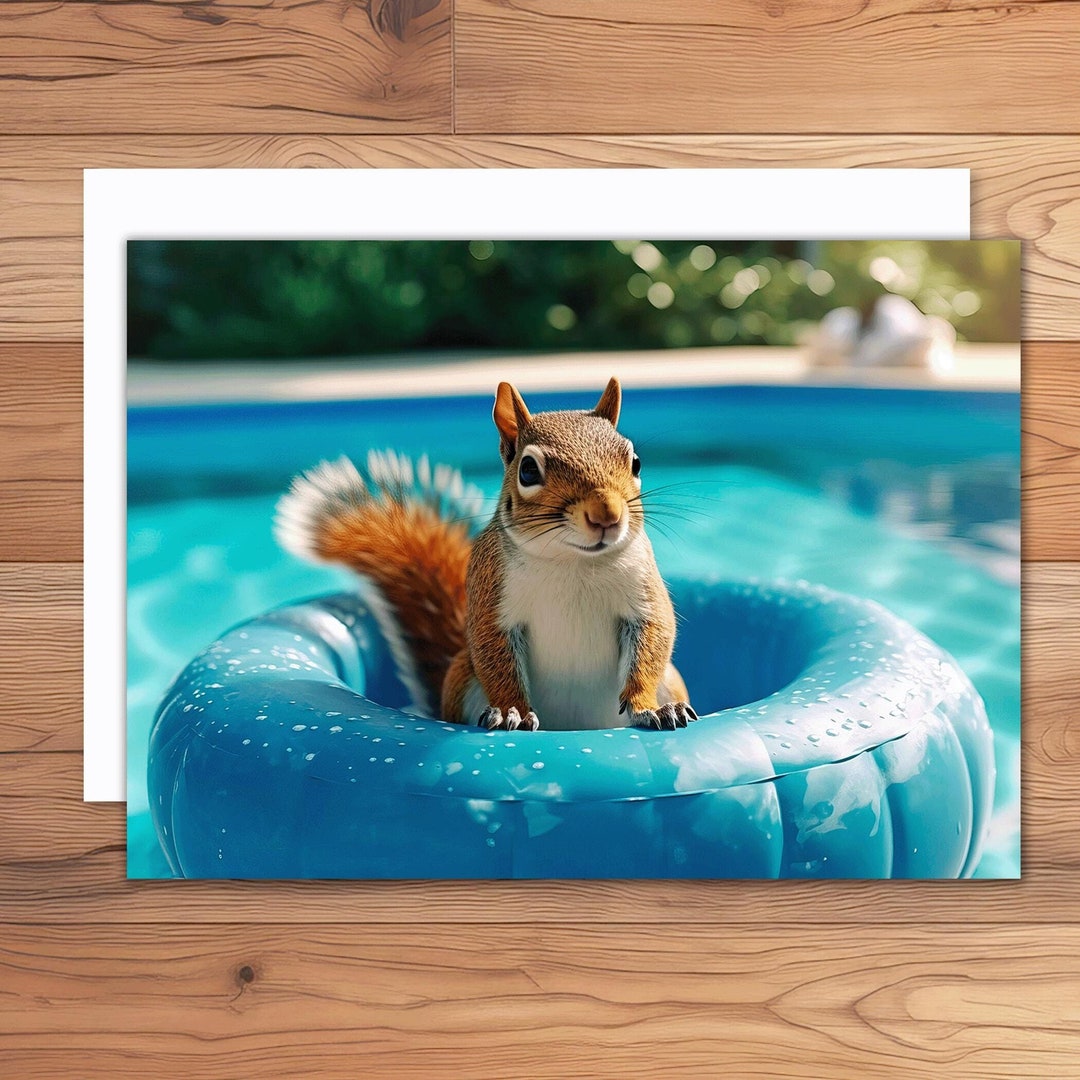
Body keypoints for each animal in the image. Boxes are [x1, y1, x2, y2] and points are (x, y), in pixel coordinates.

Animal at [274, 377, 697, 733]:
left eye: (635, 462)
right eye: (528, 471)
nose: (606, 515)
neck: (574, 561)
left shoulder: (642, 595)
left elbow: (653, 643)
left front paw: (649, 708)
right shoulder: (493, 601)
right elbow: (497, 659)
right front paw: (513, 711)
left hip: (672, 679)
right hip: (463, 675)